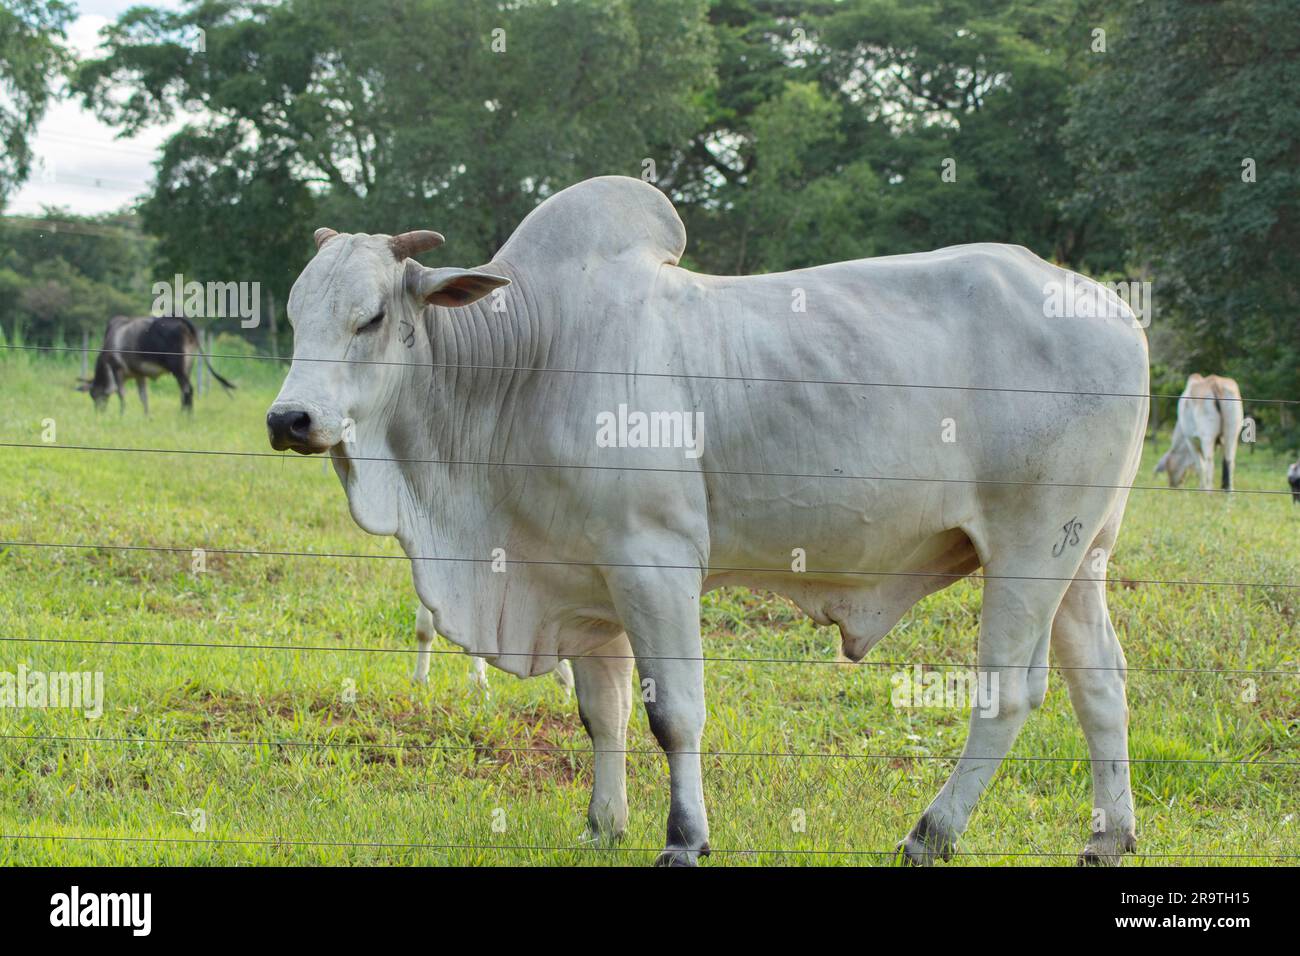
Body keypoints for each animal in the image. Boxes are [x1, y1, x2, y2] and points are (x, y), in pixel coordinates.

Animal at [78, 315, 235, 413]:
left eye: (93, 394)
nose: (99, 412)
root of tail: (182, 321)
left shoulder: (118, 369)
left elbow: (121, 394)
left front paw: (122, 414)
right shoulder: (139, 374)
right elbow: (144, 397)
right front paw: (147, 417)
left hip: (178, 368)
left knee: (187, 390)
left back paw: (185, 416)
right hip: (187, 366)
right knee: (184, 391)